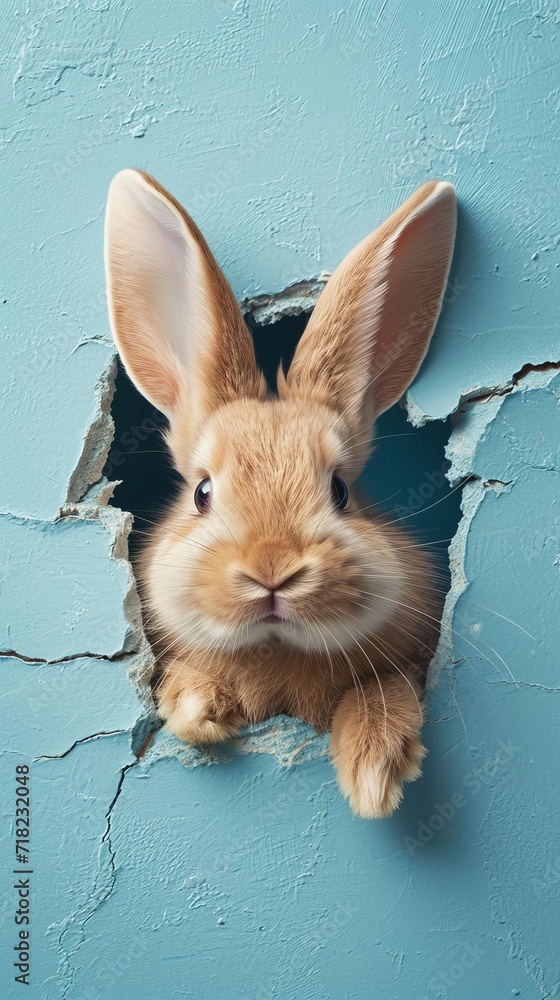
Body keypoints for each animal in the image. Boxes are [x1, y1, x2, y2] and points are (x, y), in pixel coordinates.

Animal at [104, 169, 456, 818]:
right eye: (202, 492)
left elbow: (385, 688)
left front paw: (376, 771)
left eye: (342, 490)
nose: (272, 570)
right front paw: (197, 706)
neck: (278, 649)